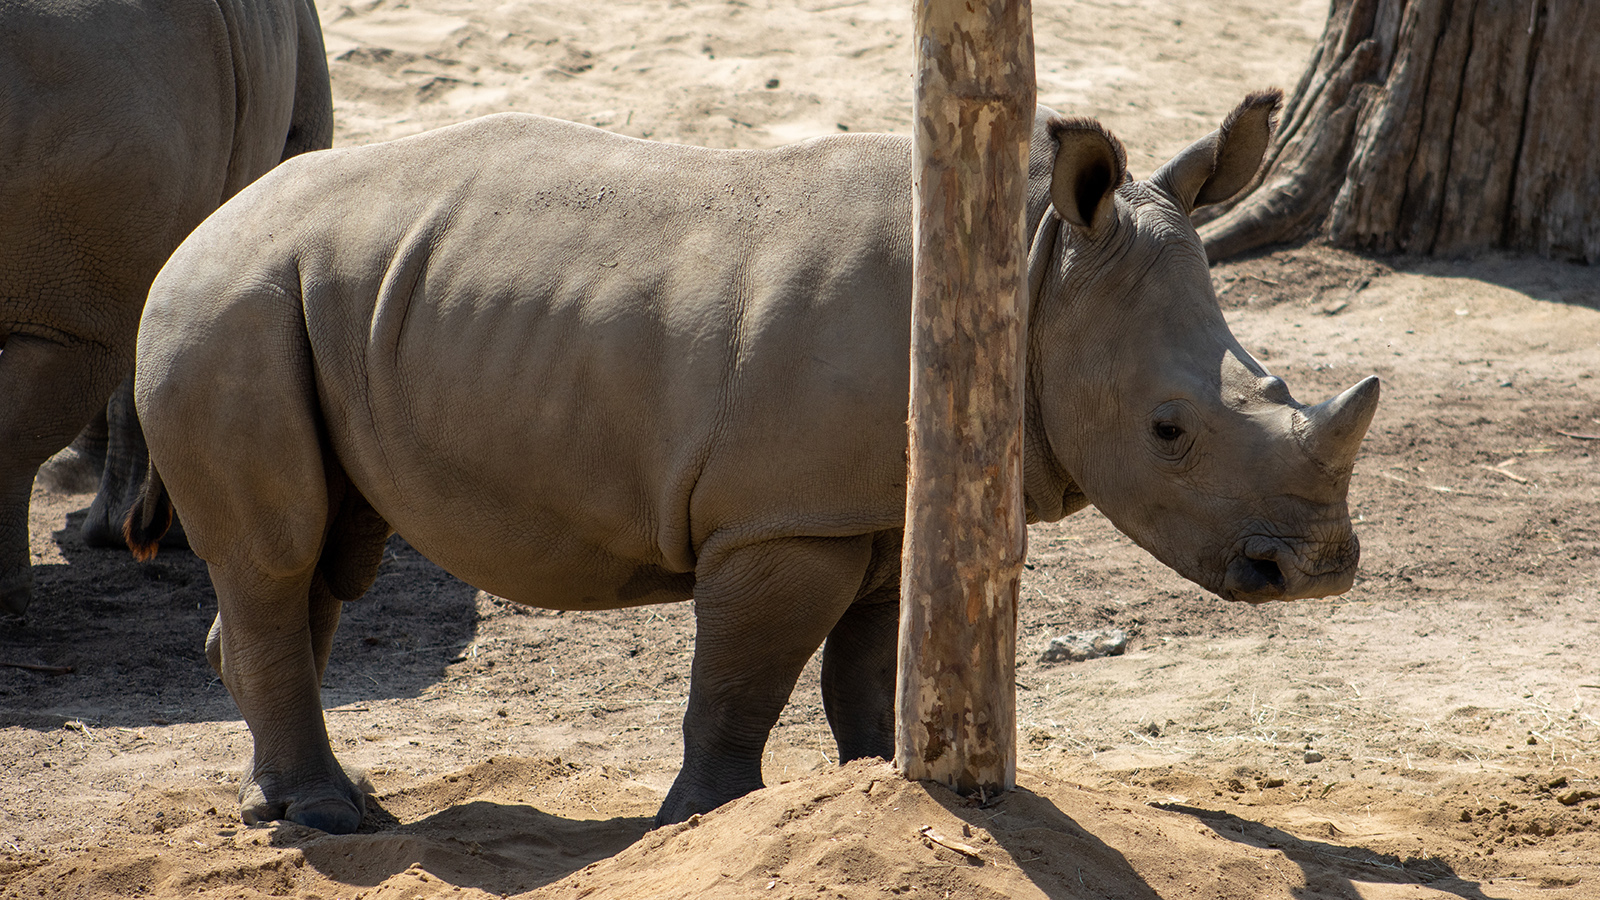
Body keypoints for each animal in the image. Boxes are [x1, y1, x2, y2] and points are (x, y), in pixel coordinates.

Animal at [128, 89, 1378, 833]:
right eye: (1169, 430)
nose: (1317, 572)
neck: (1031, 273)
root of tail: (197, 230)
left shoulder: (879, 503)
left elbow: (872, 667)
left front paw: (892, 783)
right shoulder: (785, 516)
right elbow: (744, 677)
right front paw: (699, 819)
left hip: (305, 302)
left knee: (327, 555)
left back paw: (302, 805)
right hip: (227, 308)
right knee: (283, 554)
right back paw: (329, 822)